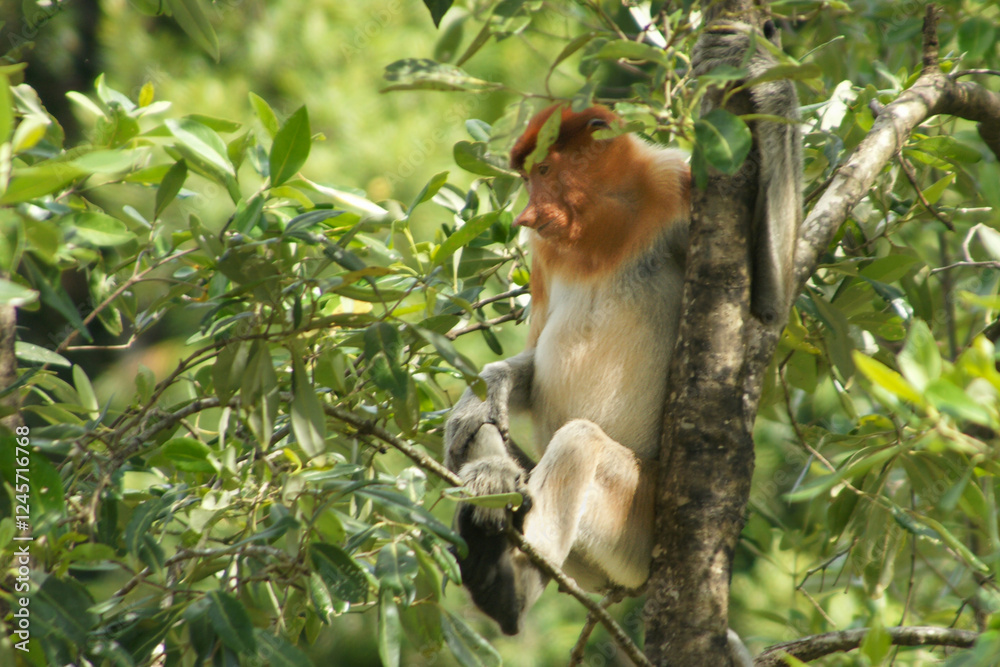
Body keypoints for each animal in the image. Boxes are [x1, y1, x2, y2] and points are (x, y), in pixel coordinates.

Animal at [444, 20, 801, 656]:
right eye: (525, 177)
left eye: (542, 172)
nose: (525, 215)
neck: (604, 224)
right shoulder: (544, 253)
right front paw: (486, 389)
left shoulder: (680, 185)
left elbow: (770, 299)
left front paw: (757, 66)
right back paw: (493, 499)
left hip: (637, 515)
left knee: (581, 443)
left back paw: (507, 588)